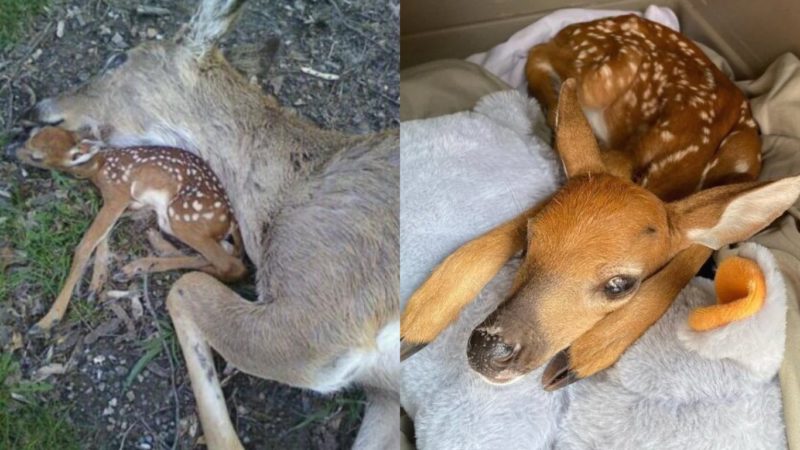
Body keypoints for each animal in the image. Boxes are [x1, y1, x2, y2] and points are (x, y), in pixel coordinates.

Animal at [9, 125, 246, 333]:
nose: (12, 150)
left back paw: (137, 266)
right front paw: (96, 285)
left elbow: (85, 245)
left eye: (36, 156)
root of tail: (231, 221)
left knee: (232, 265)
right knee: (224, 253)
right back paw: (142, 260)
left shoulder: (118, 194)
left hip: (181, 215)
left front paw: (49, 319)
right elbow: (102, 237)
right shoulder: (131, 204)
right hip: (169, 220)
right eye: (32, 135)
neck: (98, 167)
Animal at [401, 14, 800, 391]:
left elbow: (696, 248)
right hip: (603, 75)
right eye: (530, 240)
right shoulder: (611, 162)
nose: (488, 349)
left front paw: (583, 356)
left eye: (619, 285)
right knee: (539, 56)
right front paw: (418, 320)